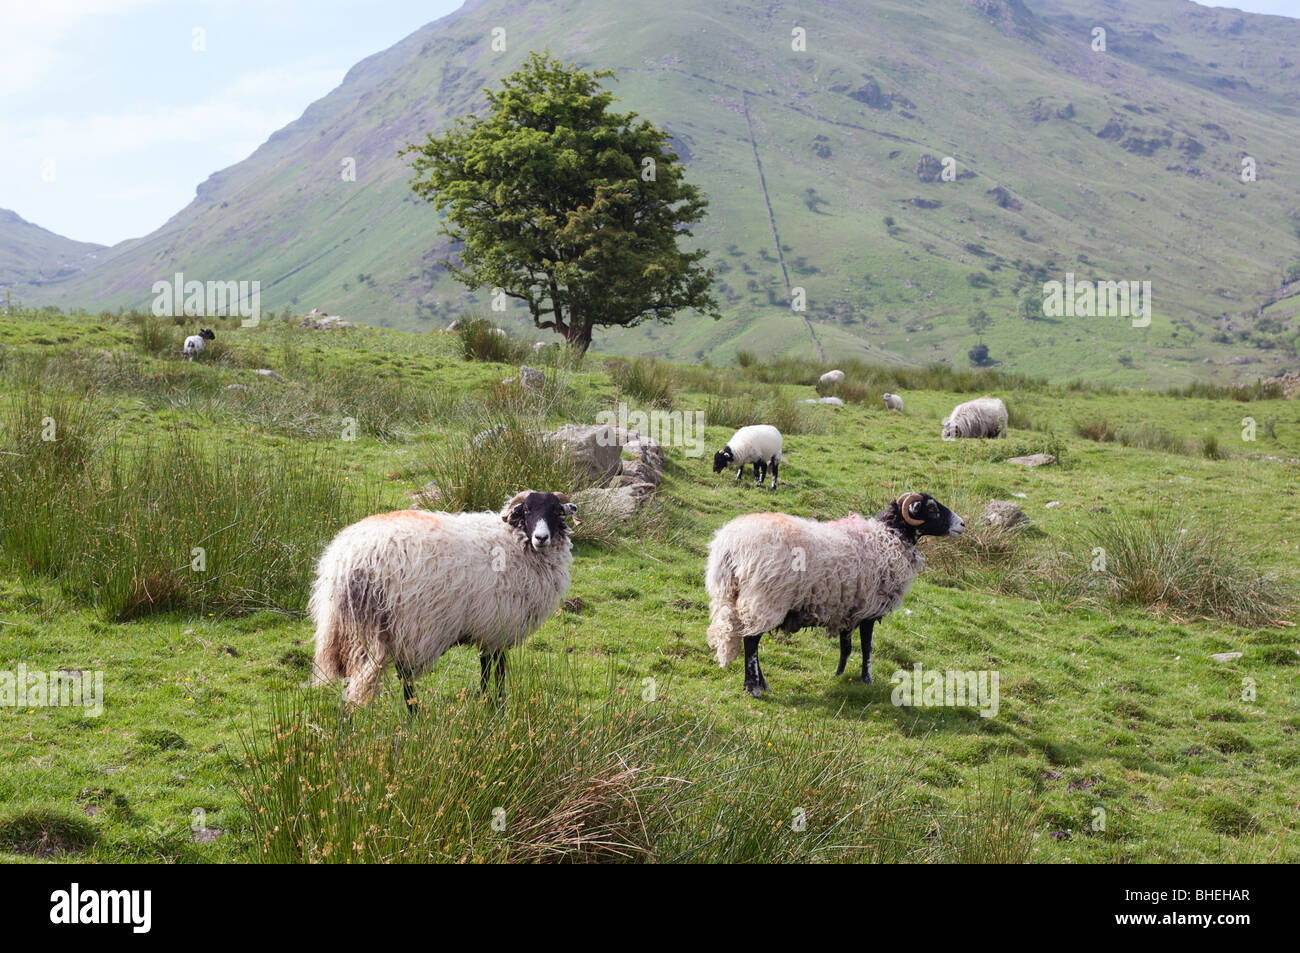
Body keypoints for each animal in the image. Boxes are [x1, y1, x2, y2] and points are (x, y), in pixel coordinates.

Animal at [309, 490, 578, 709]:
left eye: (555, 511)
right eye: (527, 510)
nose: (541, 538)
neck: (514, 540)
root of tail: (349, 559)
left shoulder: (489, 627)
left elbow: (486, 668)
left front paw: (487, 704)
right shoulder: (499, 626)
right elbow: (497, 670)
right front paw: (497, 707)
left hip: (348, 628)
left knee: (351, 674)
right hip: (408, 623)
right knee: (402, 675)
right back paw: (414, 716)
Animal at [704, 492, 965, 697]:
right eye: (932, 508)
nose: (962, 524)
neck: (889, 536)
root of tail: (730, 546)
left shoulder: (849, 606)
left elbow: (846, 646)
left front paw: (839, 675)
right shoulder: (870, 607)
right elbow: (867, 647)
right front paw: (867, 680)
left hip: (736, 596)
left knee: (747, 635)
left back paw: (762, 684)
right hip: (765, 597)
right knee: (751, 641)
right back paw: (754, 688)